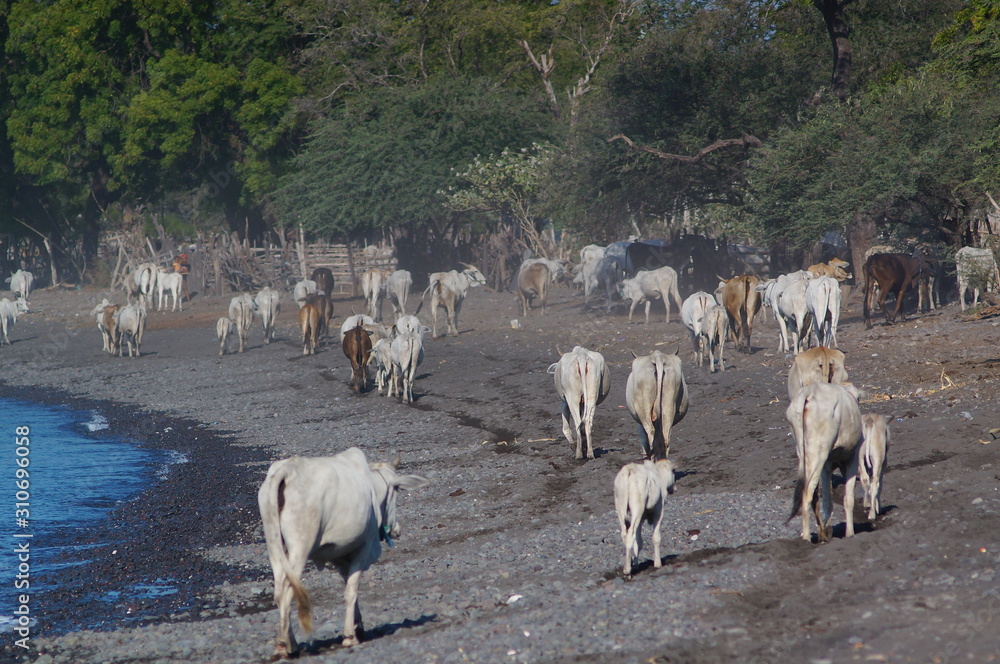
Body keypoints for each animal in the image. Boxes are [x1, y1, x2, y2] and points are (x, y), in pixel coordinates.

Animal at [257, 448, 428, 657]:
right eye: (396, 489)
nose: (396, 529)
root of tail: (287, 470)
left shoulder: (339, 555)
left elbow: (348, 585)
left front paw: (358, 626)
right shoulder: (363, 548)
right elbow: (351, 590)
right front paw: (350, 636)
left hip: (274, 544)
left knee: (279, 592)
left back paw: (291, 644)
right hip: (300, 546)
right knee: (289, 590)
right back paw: (283, 645)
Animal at [786, 382, 863, 542]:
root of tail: (809, 392)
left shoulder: (826, 466)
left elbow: (827, 501)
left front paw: (826, 531)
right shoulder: (853, 458)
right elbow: (849, 499)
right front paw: (850, 533)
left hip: (806, 454)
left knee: (812, 494)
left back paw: (819, 532)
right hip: (818, 453)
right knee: (807, 493)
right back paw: (807, 537)